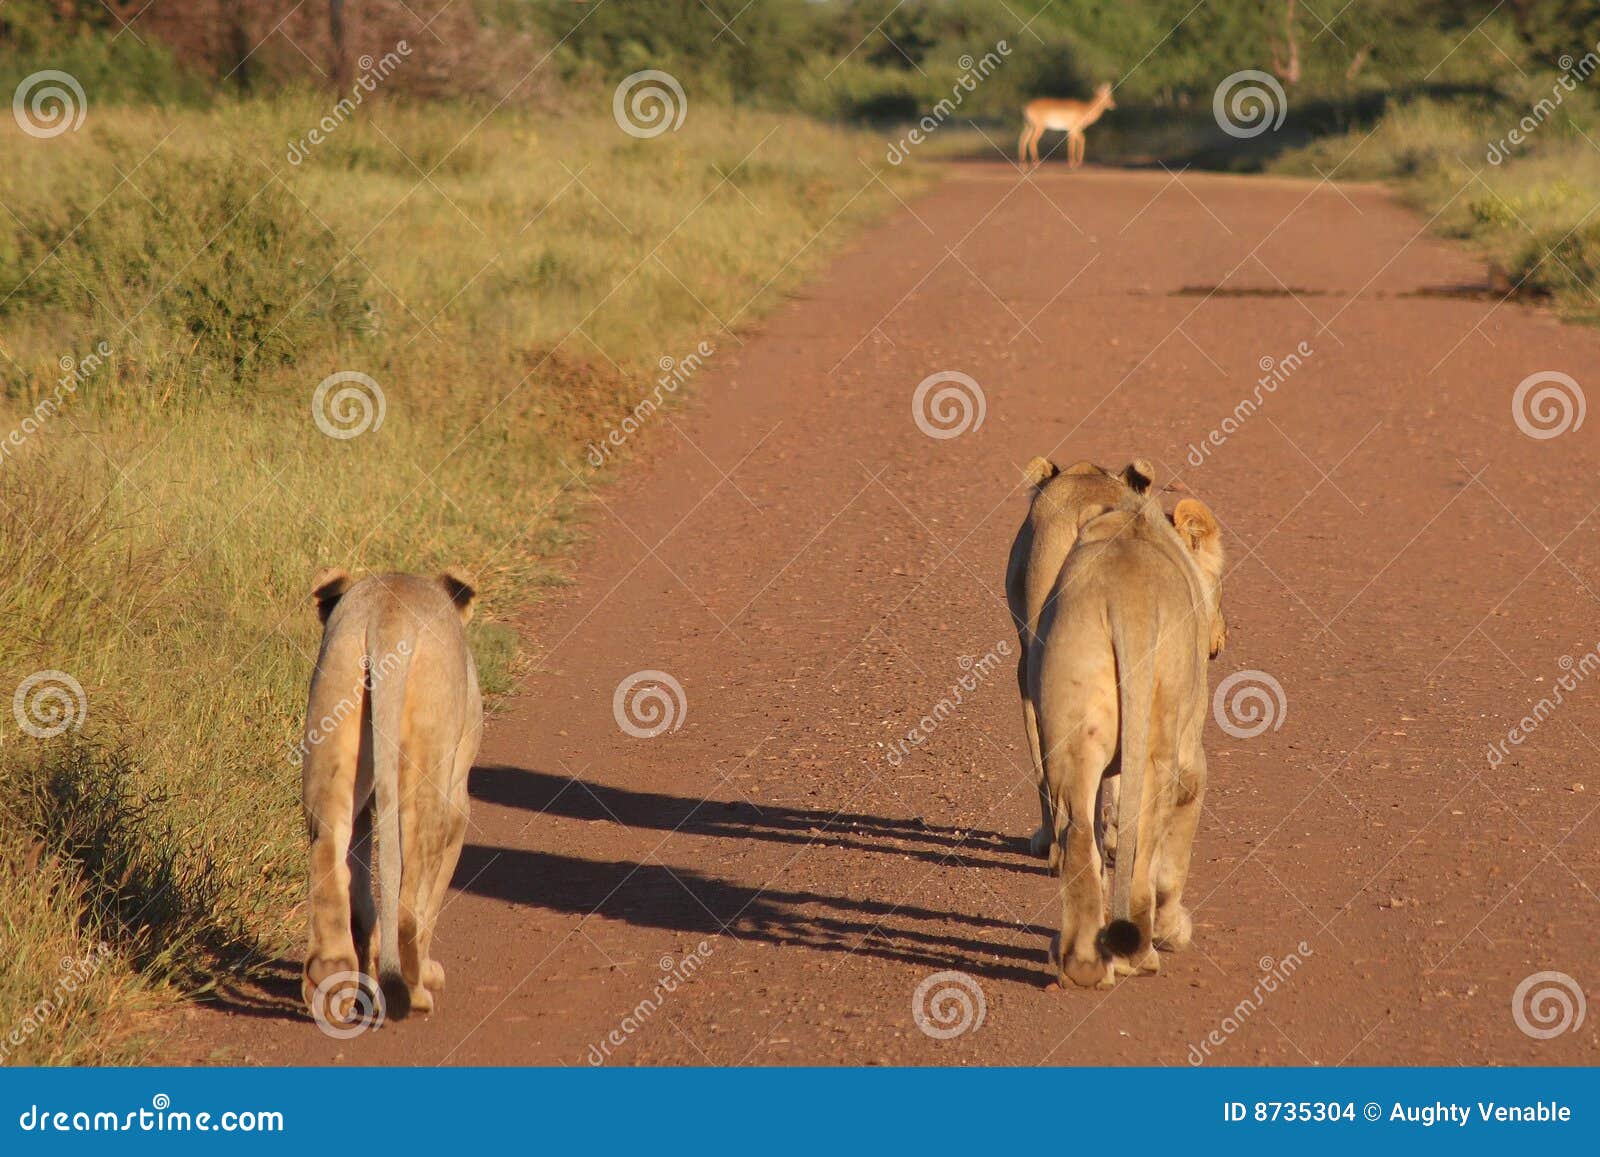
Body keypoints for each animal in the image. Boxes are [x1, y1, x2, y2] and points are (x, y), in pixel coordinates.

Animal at [300, 569, 483, 1024]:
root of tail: (388, 617)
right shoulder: (459, 799)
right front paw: (427, 971)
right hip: (431, 754)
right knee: (410, 896)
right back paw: (414, 991)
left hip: (334, 707)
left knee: (328, 846)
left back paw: (331, 979)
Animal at [1028, 491, 1224, 988]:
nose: (1220, 639)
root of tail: (1127, 597)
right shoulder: (1192, 755)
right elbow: (1172, 863)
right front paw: (1174, 930)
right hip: (1161, 739)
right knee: (1144, 849)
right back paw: (1140, 955)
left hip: (1073, 717)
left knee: (1080, 837)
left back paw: (1080, 965)